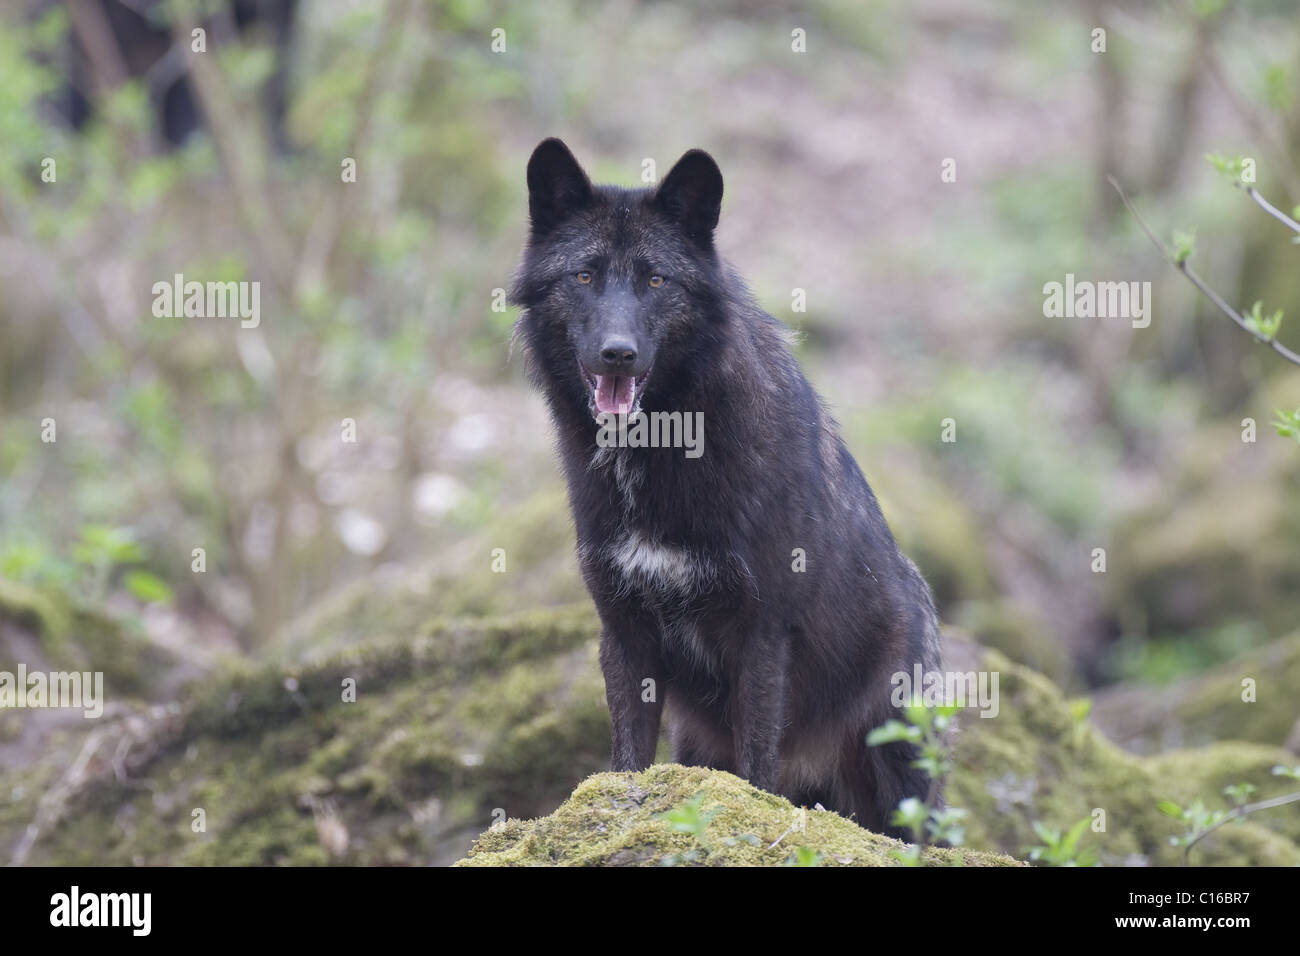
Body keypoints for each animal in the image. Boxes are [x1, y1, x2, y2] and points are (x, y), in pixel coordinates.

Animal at [510, 138, 944, 838]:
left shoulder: (761, 633)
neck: (658, 456)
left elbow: (757, 771)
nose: (617, 353)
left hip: (896, 766)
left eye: (656, 280)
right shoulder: (623, 630)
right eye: (584, 277)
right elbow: (627, 758)